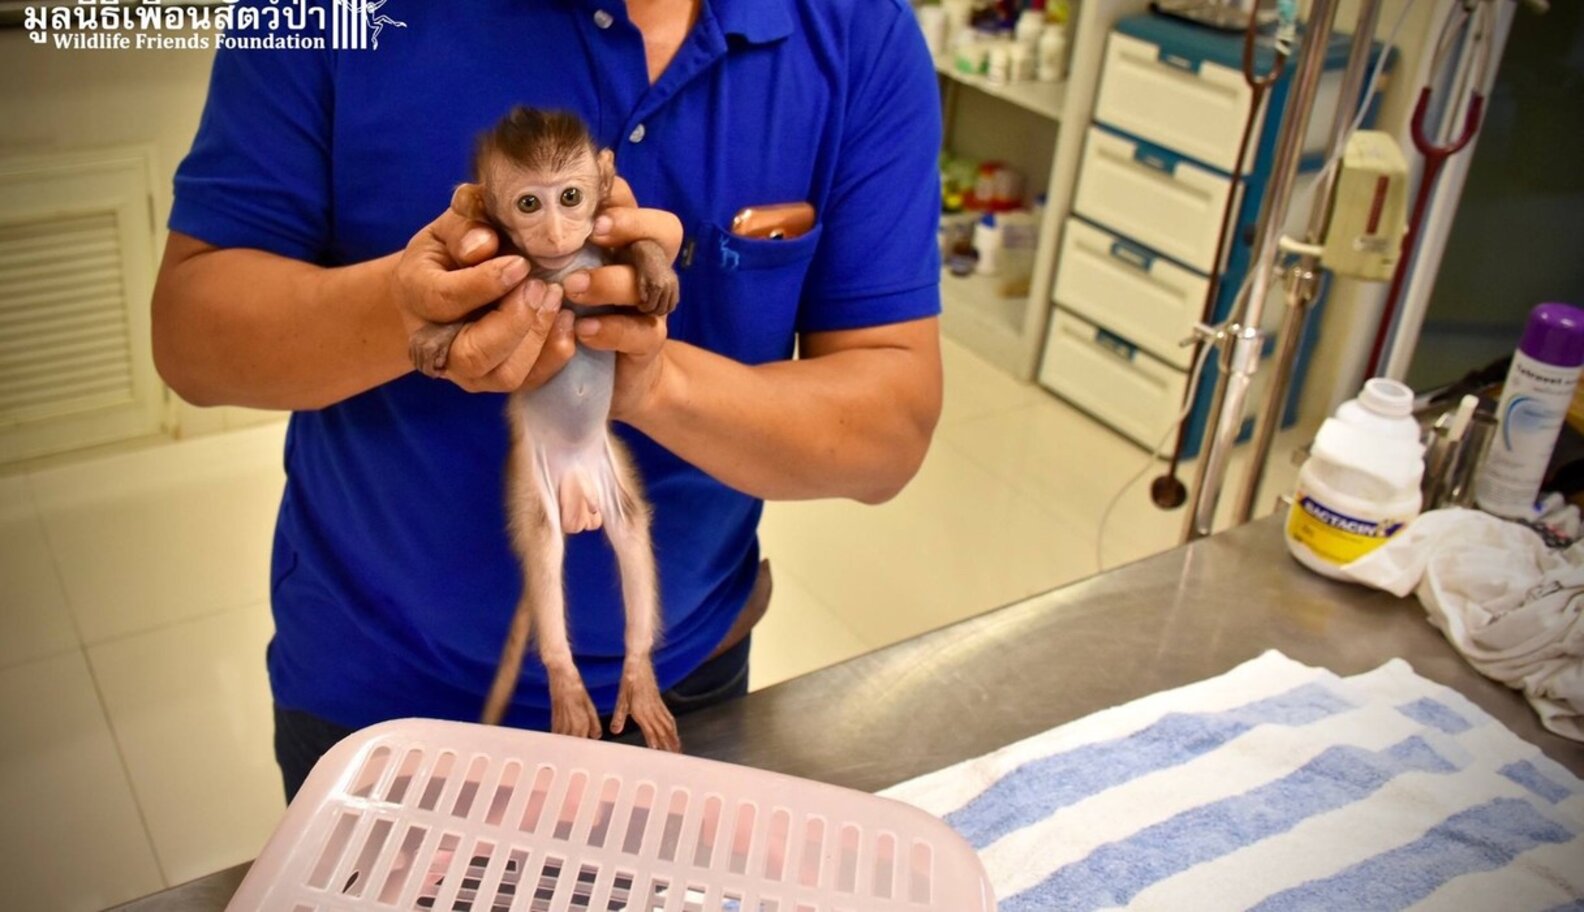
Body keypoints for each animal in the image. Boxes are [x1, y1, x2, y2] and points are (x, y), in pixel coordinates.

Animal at [407, 107, 681, 752]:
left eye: (571, 196)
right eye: (529, 203)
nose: (556, 233)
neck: (561, 270)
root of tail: (581, 497)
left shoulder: (599, 249)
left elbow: (626, 243)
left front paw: (655, 262)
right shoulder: (512, 266)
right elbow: (478, 291)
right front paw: (438, 329)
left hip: (609, 470)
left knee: (631, 530)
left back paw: (637, 673)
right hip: (534, 484)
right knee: (543, 541)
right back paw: (564, 677)